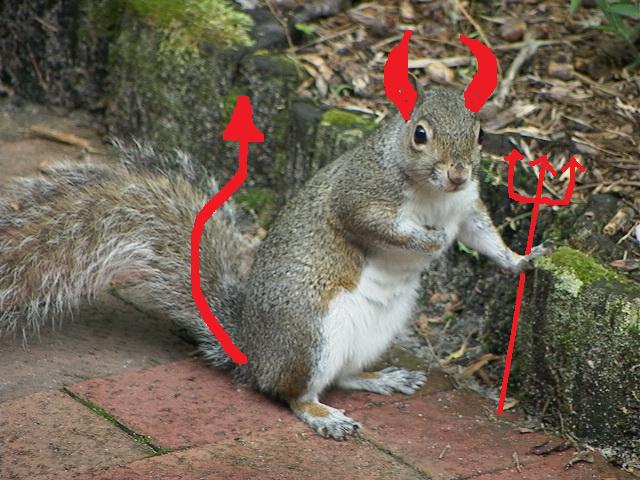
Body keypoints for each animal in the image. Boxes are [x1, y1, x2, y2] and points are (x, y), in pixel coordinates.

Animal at [0, 85, 548, 440]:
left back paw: (381, 379)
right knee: (292, 393)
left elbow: (483, 237)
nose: (458, 173)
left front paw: (522, 260)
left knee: (341, 376)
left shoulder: (467, 207)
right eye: (419, 134)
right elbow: (376, 226)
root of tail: (253, 352)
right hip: (310, 333)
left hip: (374, 331)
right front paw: (426, 240)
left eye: (481, 134)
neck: (433, 194)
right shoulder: (360, 197)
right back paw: (325, 417)